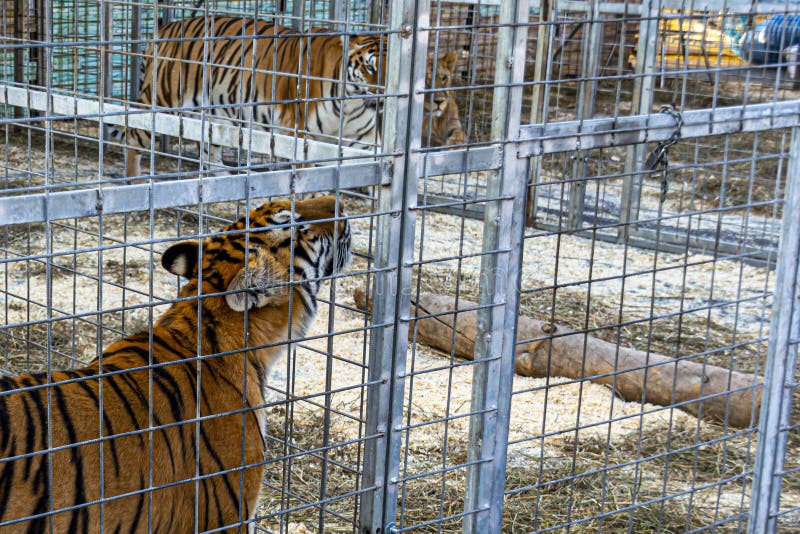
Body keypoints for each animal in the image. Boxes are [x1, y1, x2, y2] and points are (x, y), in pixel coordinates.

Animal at [123, 16, 387, 178]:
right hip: (160, 102)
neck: (352, 103)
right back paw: (136, 184)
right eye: (370, 67)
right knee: (132, 137)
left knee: (208, 154)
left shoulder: (364, 139)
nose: (384, 94)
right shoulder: (299, 134)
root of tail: (165, 29)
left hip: (215, 118)